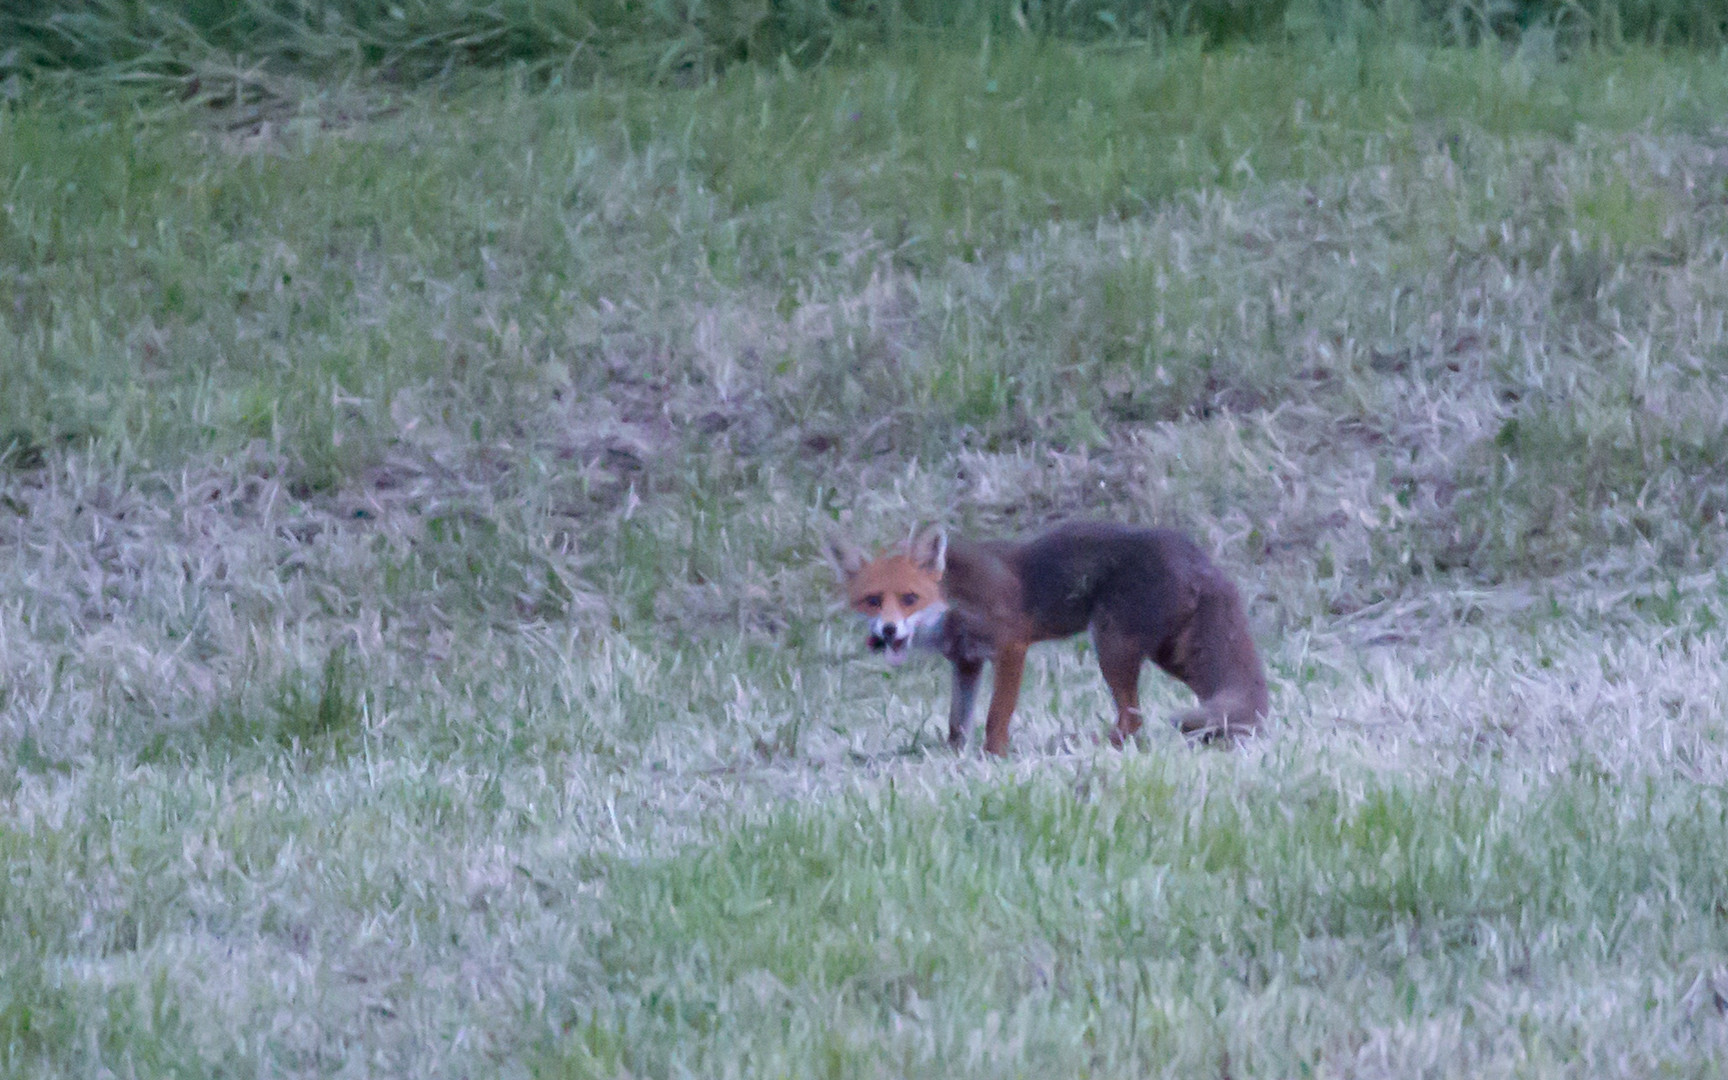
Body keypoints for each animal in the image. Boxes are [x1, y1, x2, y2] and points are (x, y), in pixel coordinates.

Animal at [826, 521, 1269, 755]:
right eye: (871, 601)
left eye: (909, 599)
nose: (888, 631)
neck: (951, 601)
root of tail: (1197, 555)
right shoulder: (966, 661)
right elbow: (957, 722)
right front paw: (953, 756)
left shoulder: (1010, 646)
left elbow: (996, 716)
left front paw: (994, 756)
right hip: (1173, 655)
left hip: (1112, 644)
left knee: (1133, 718)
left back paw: (1087, 744)